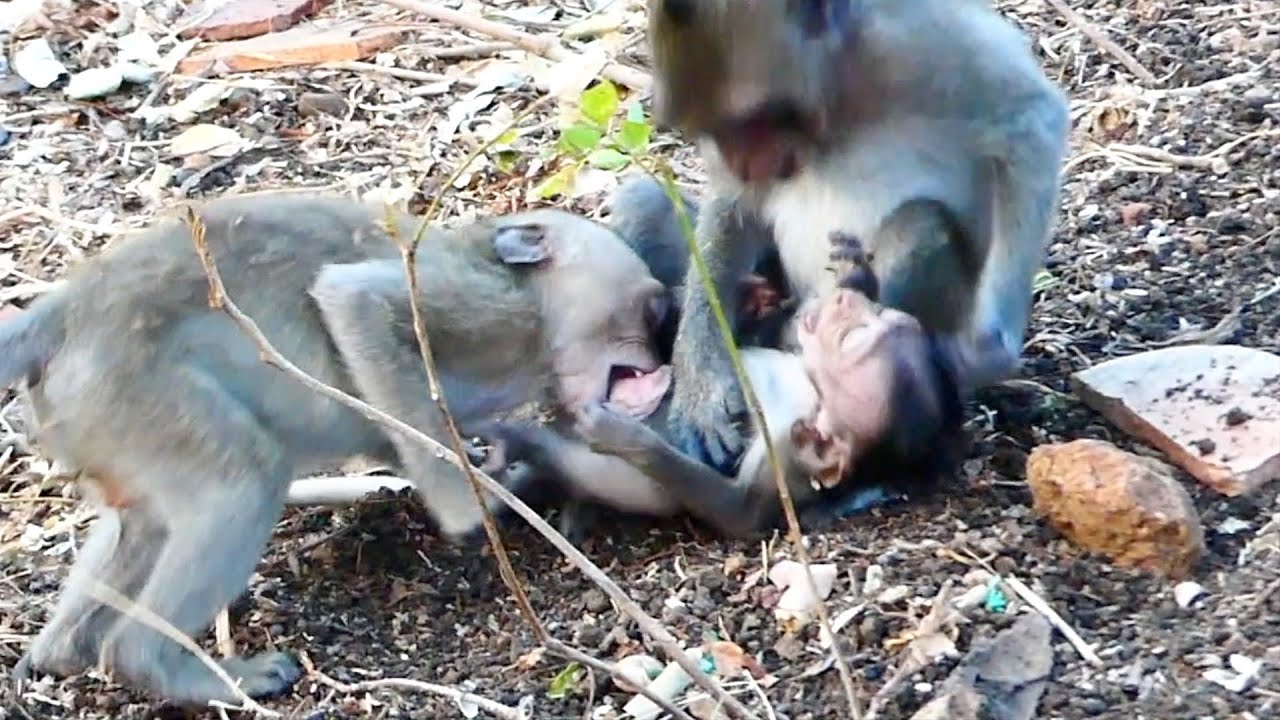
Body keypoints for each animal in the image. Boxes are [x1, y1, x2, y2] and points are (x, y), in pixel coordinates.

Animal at [0, 192, 672, 705]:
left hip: (98, 418)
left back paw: (67, 650)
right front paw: (471, 506)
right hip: (131, 389)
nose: (661, 350)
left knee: (142, 525)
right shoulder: (484, 305)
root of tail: (60, 319)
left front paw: (497, 462)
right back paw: (157, 663)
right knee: (243, 478)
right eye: (653, 308)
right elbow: (355, 301)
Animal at [643, 0, 1071, 474]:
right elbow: (735, 203)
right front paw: (703, 387)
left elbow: (1031, 118)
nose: (742, 162)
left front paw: (992, 345)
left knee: (919, 224)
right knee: (640, 201)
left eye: (753, 121)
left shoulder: (913, 42)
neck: (838, 98)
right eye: (715, 131)